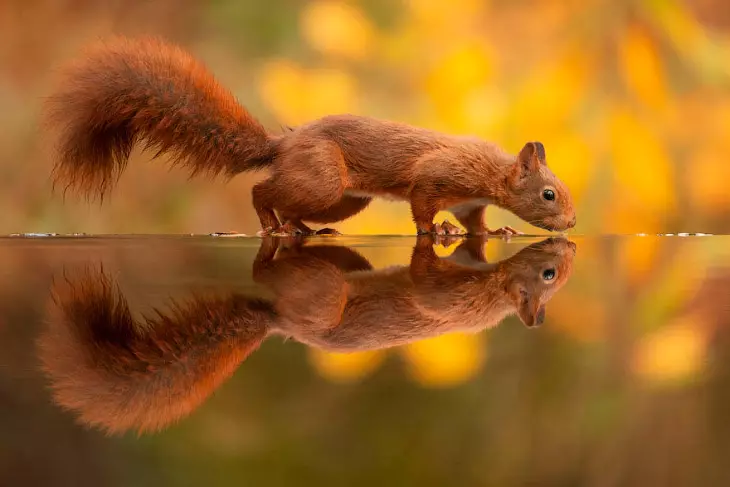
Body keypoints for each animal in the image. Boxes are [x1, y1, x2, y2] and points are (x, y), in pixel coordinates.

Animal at [45, 36, 576, 236]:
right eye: (549, 193)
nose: (571, 223)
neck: (492, 172)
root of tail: (284, 143)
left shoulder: (471, 201)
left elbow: (476, 224)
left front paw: (498, 231)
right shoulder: (437, 176)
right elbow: (424, 207)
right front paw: (438, 231)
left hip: (343, 200)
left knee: (293, 206)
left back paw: (303, 229)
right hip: (323, 179)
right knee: (263, 192)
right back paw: (274, 225)